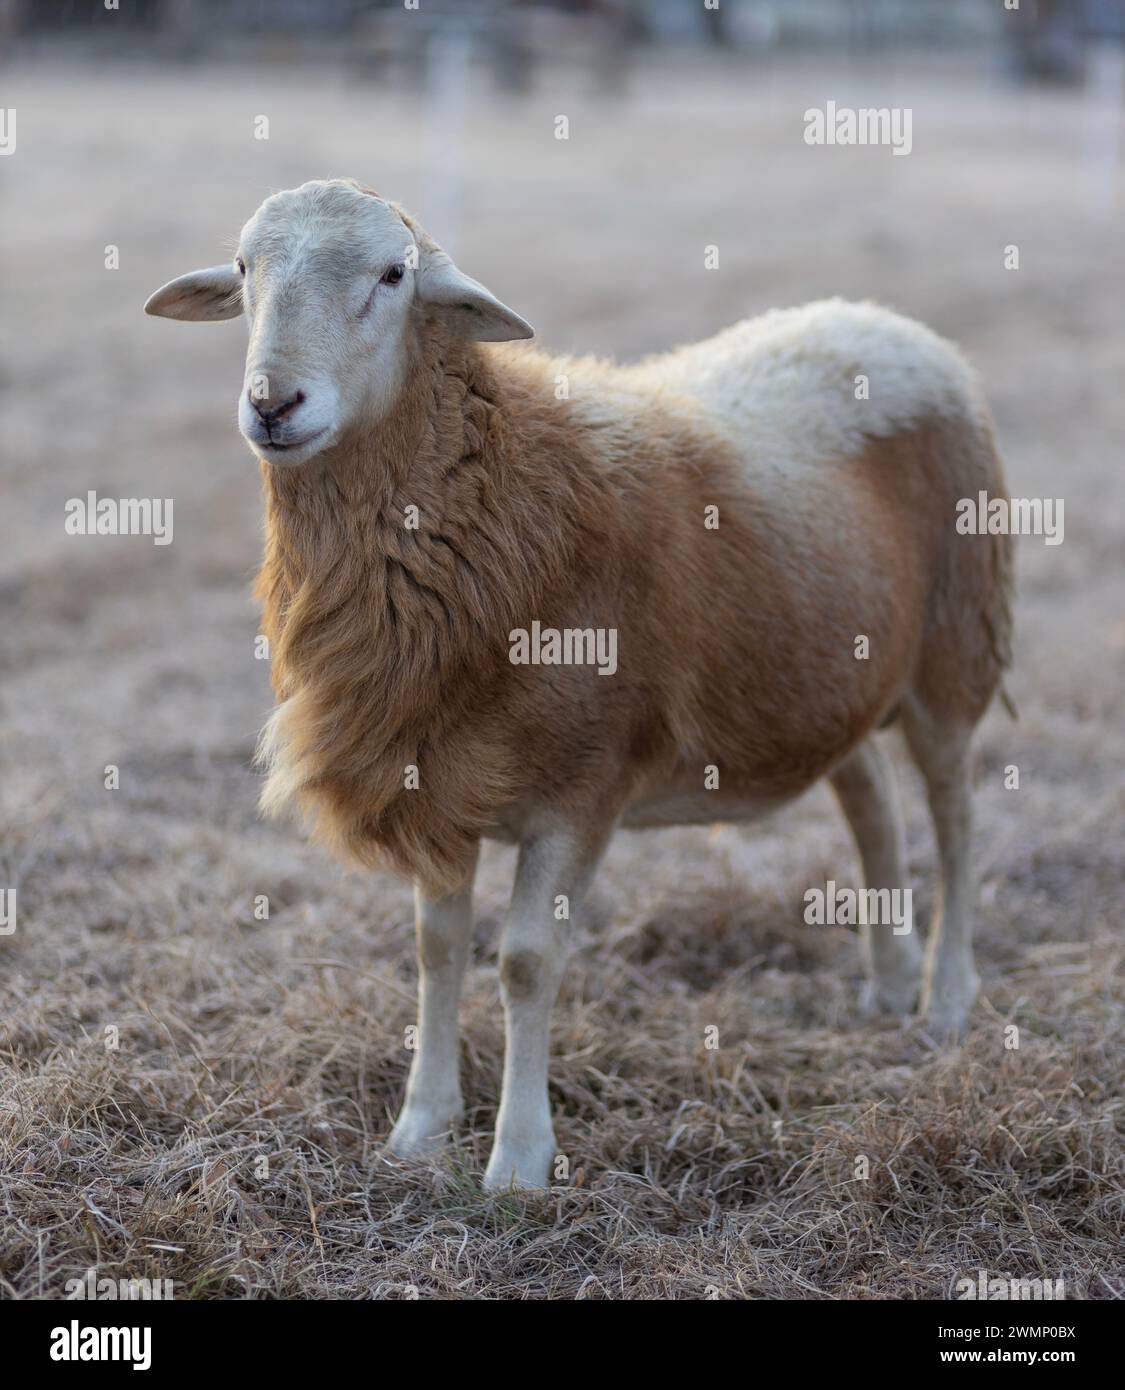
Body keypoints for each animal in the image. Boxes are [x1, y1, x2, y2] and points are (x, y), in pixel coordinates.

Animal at [145, 178, 1014, 1190]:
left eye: (395, 275)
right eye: (245, 268)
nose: (273, 403)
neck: (504, 489)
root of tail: (881, 319)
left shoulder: (582, 785)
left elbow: (524, 961)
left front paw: (518, 1161)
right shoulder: (435, 775)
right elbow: (436, 950)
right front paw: (420, 1130)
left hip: (953, 645)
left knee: (954, 818)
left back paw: (944, 999)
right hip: (826, 665)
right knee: (868, 795)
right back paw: (885, 982)